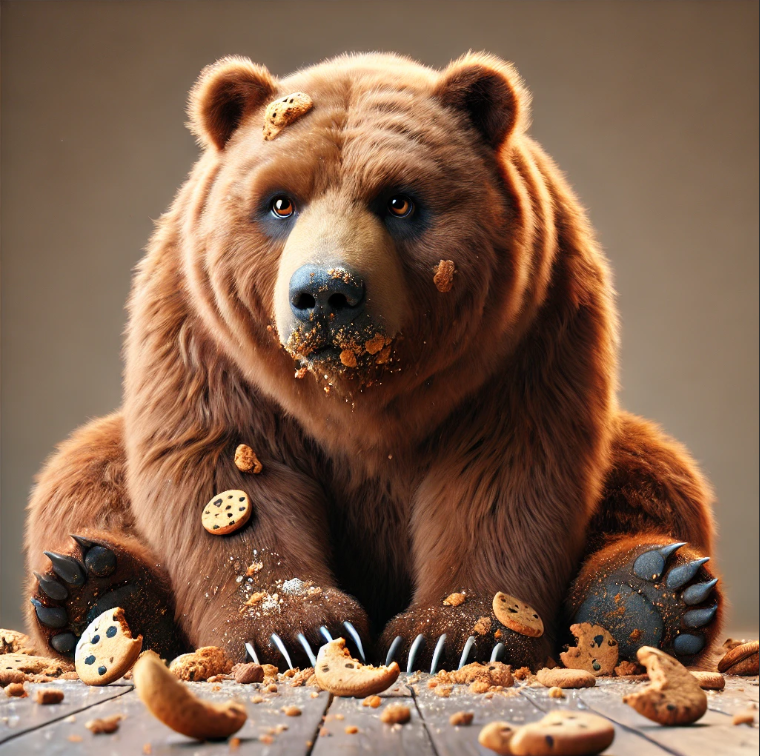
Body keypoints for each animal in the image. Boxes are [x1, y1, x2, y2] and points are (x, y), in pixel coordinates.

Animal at [24, 52, 722, 672]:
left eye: (399, 200)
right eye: (280, 202)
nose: (325, 292)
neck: (361, 396)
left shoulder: (529, 335)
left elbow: (505, 474)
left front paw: (452, 636)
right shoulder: (204, 335)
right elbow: (224, 469)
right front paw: (291, 633)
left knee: (657, 472)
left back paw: (652, 594)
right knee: (82, 469)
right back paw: (92, 587)